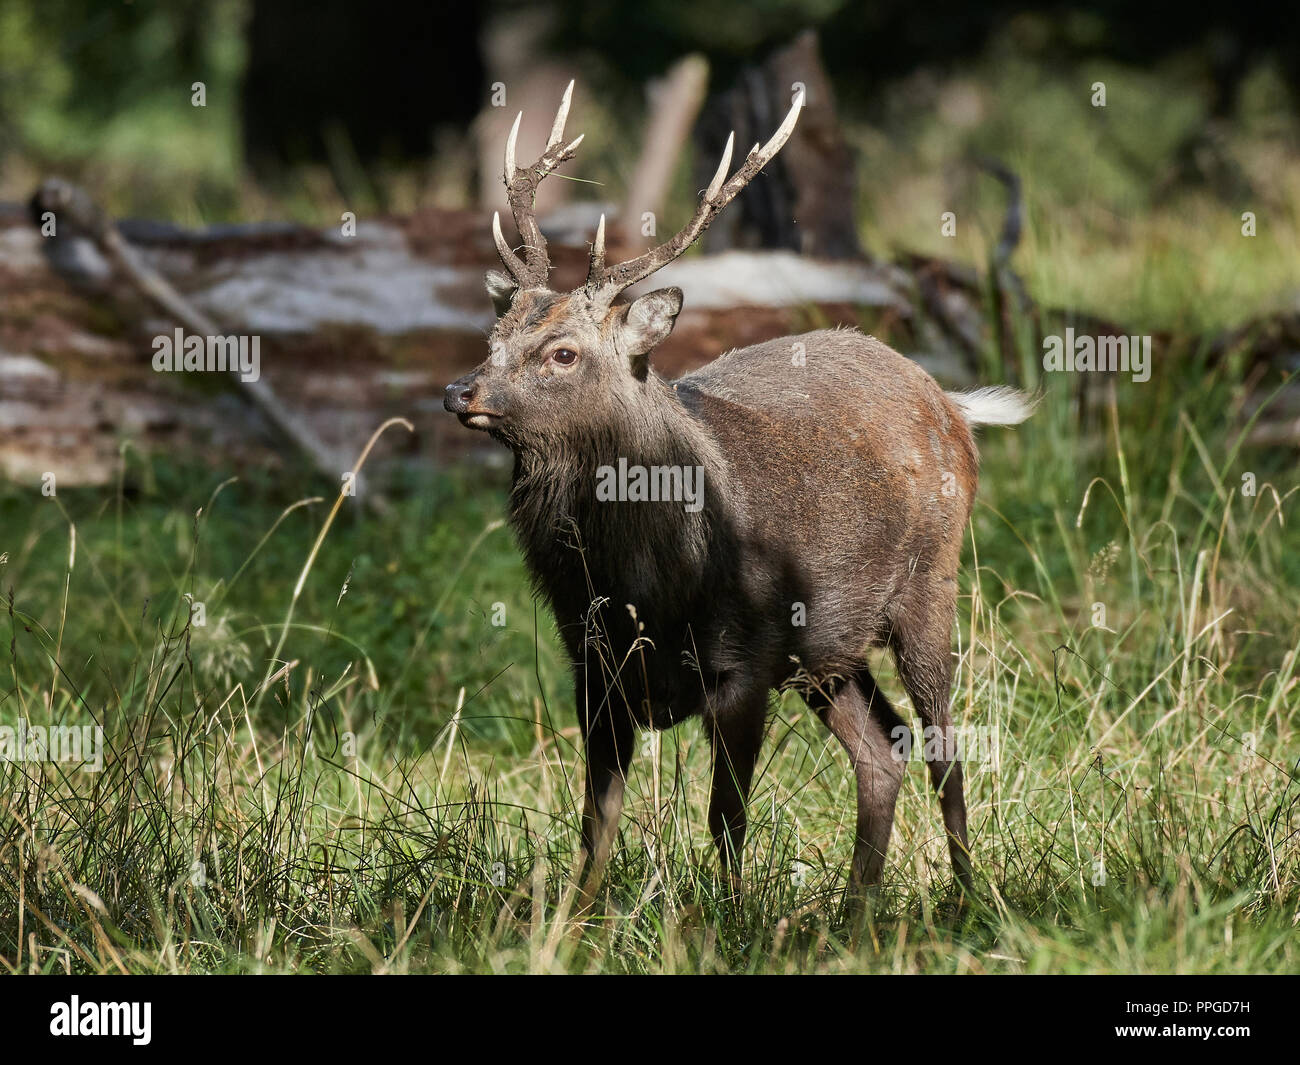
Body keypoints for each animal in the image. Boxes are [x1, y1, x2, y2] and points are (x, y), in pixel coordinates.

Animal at [444, 81, 1034, 906]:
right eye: (492, 337)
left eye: (562, 353)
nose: (459, 391)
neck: (648, 576)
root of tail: (950, 400)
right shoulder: (594, 664)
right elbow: (596, 823)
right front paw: (574, 920)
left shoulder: (744, 660)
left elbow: (726, 817)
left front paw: (727, 917)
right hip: (827, 646)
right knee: (883, 748)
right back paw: (855, 908)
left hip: (931, 582)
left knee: (942, 741)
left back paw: (971, 893)